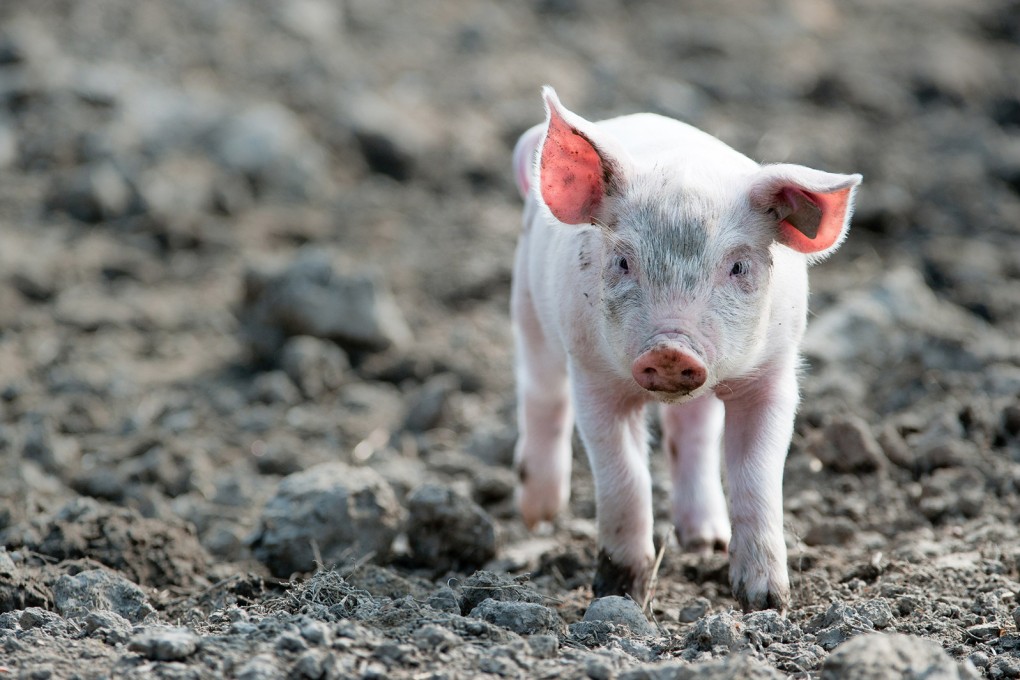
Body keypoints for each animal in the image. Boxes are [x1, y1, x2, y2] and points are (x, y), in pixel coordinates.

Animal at [510, 87, 861, 612]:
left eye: (738, 267)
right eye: (622, 261)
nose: (671, 350)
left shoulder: (773, 374)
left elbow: (756, 473)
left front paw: (766, 602)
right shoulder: (593, 374)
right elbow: (624, 476)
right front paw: (620, 596)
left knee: (693, 430)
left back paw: (705, 541)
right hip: (529, 310)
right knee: (541, 394)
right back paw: (538, 514)